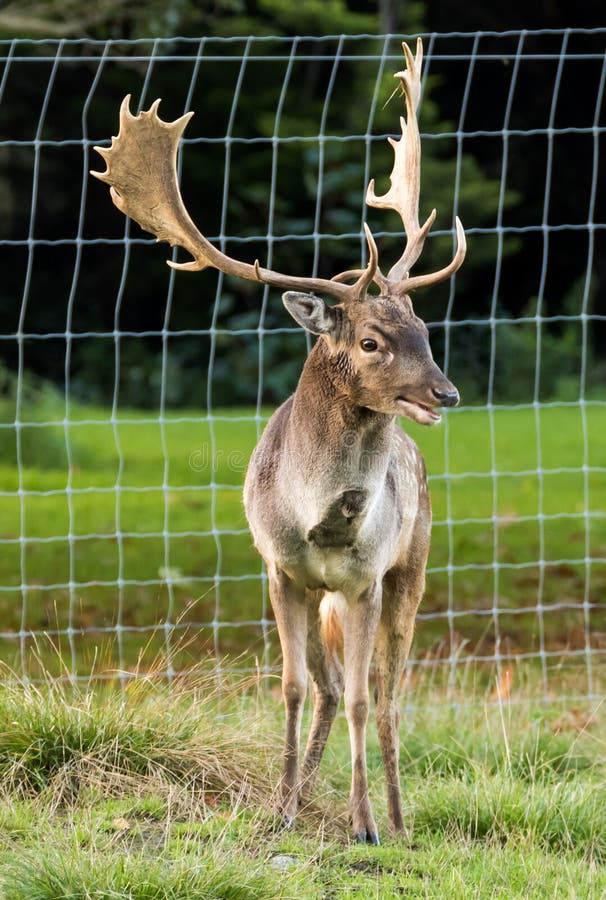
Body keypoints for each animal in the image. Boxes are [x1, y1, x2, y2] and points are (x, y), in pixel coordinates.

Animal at [92, 38, 465, 844]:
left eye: (425, 330)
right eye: (370, 339)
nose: (445, 393)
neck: (315, 517)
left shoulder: (363, 579)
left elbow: (363, 698)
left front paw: (364, 822)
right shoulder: (278, 569)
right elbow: (294, 688)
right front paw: (283, 809)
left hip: (413, 565)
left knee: (387, 694)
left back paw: (395, 816)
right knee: (330, 687)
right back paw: (301, 795)